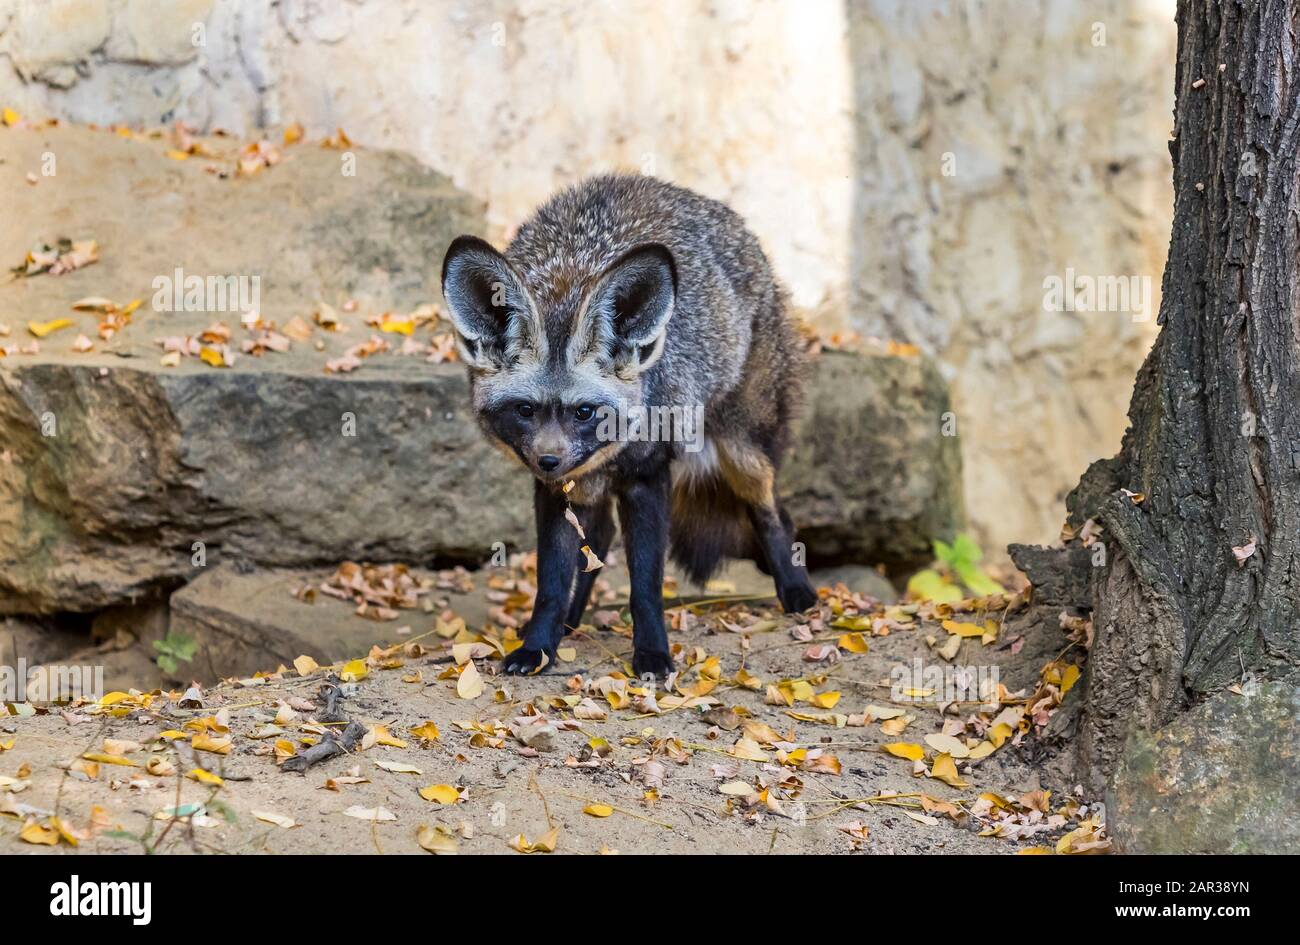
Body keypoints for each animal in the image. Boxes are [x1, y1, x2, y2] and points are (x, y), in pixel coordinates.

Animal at [441, 174, 817, 677]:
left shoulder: (646, 476)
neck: (570, 282)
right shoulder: (556, 491)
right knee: (600, 536)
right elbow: (551, 585)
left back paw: (796, 590)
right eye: (525, 410)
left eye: (584, 411)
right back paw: (570, 624)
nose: (548, 460)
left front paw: (653, 653)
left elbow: (645, 585)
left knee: (773, 511)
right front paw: (538, 647)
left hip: (743, 452)